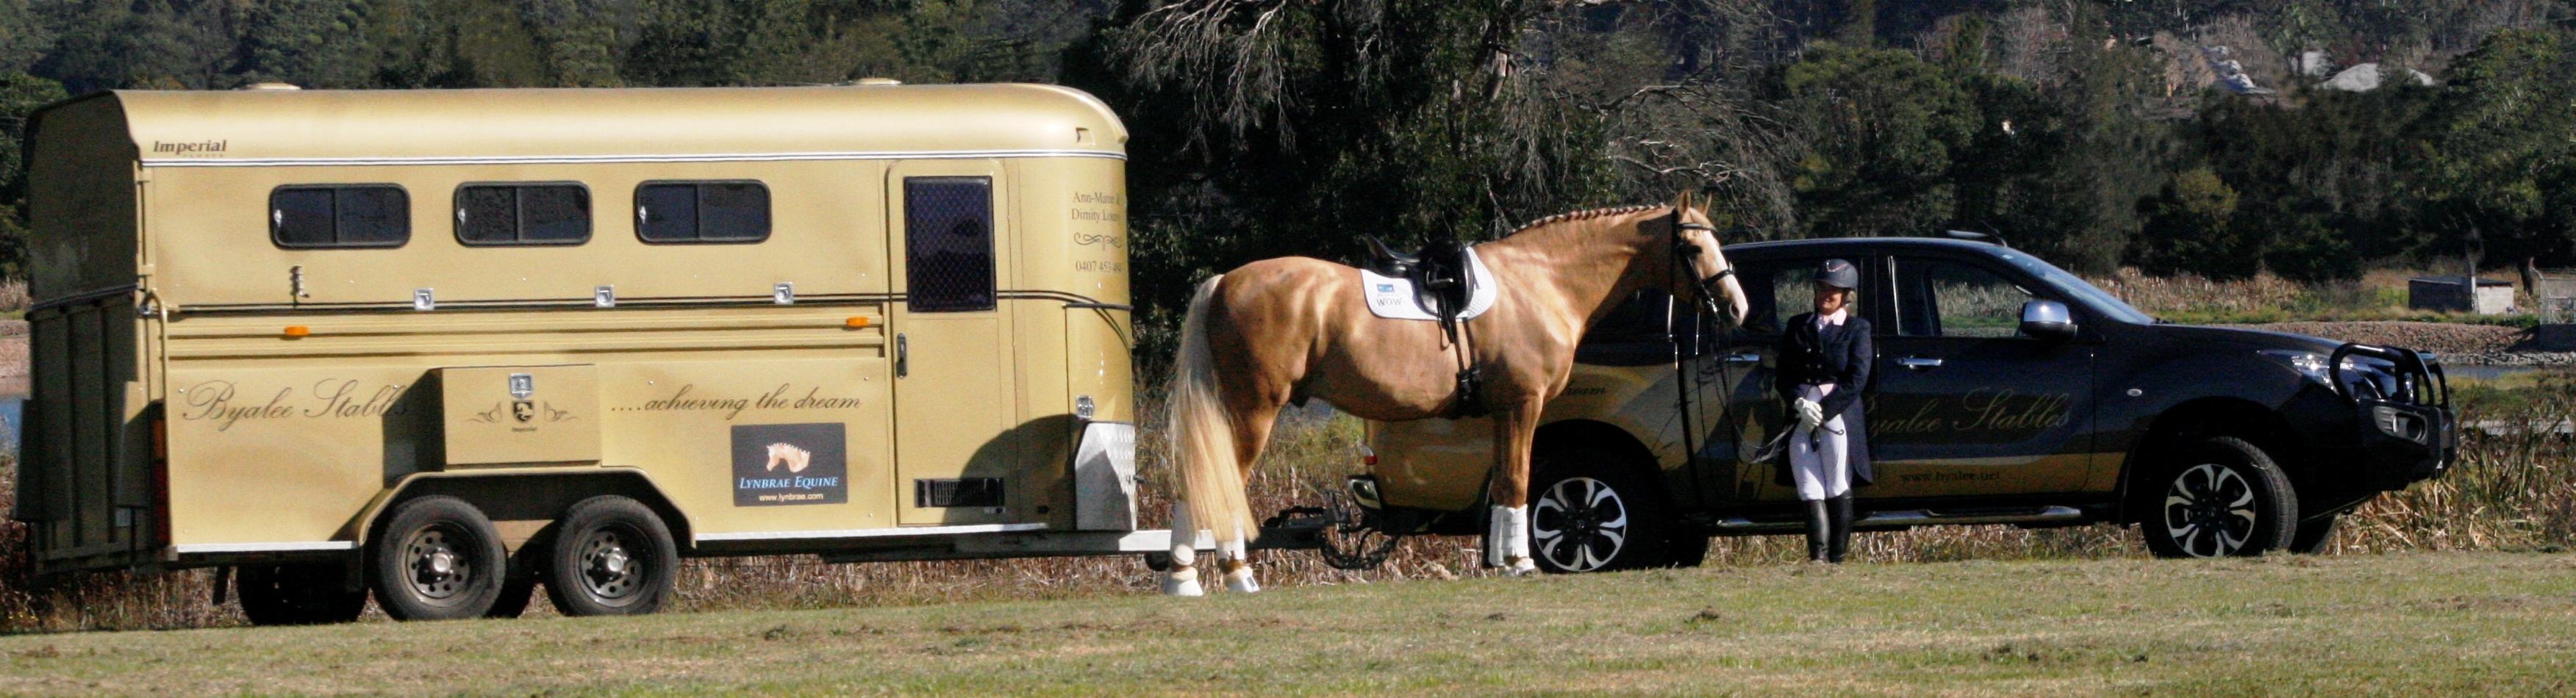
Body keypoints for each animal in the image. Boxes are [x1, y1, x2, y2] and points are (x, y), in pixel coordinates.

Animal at [1161, 193, 1749, 595]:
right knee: (1217, 481)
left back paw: (1183, 579)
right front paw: (1521, 562)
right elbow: (1517, 481)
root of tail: (1225, 282)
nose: (1735, 308)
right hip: (1252, 411)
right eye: (1692, 246)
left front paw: (1504, 559)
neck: (1539, 282)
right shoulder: (1523, 404)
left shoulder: (1502, 412)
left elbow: (1507, 481)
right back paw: (1234, 576)